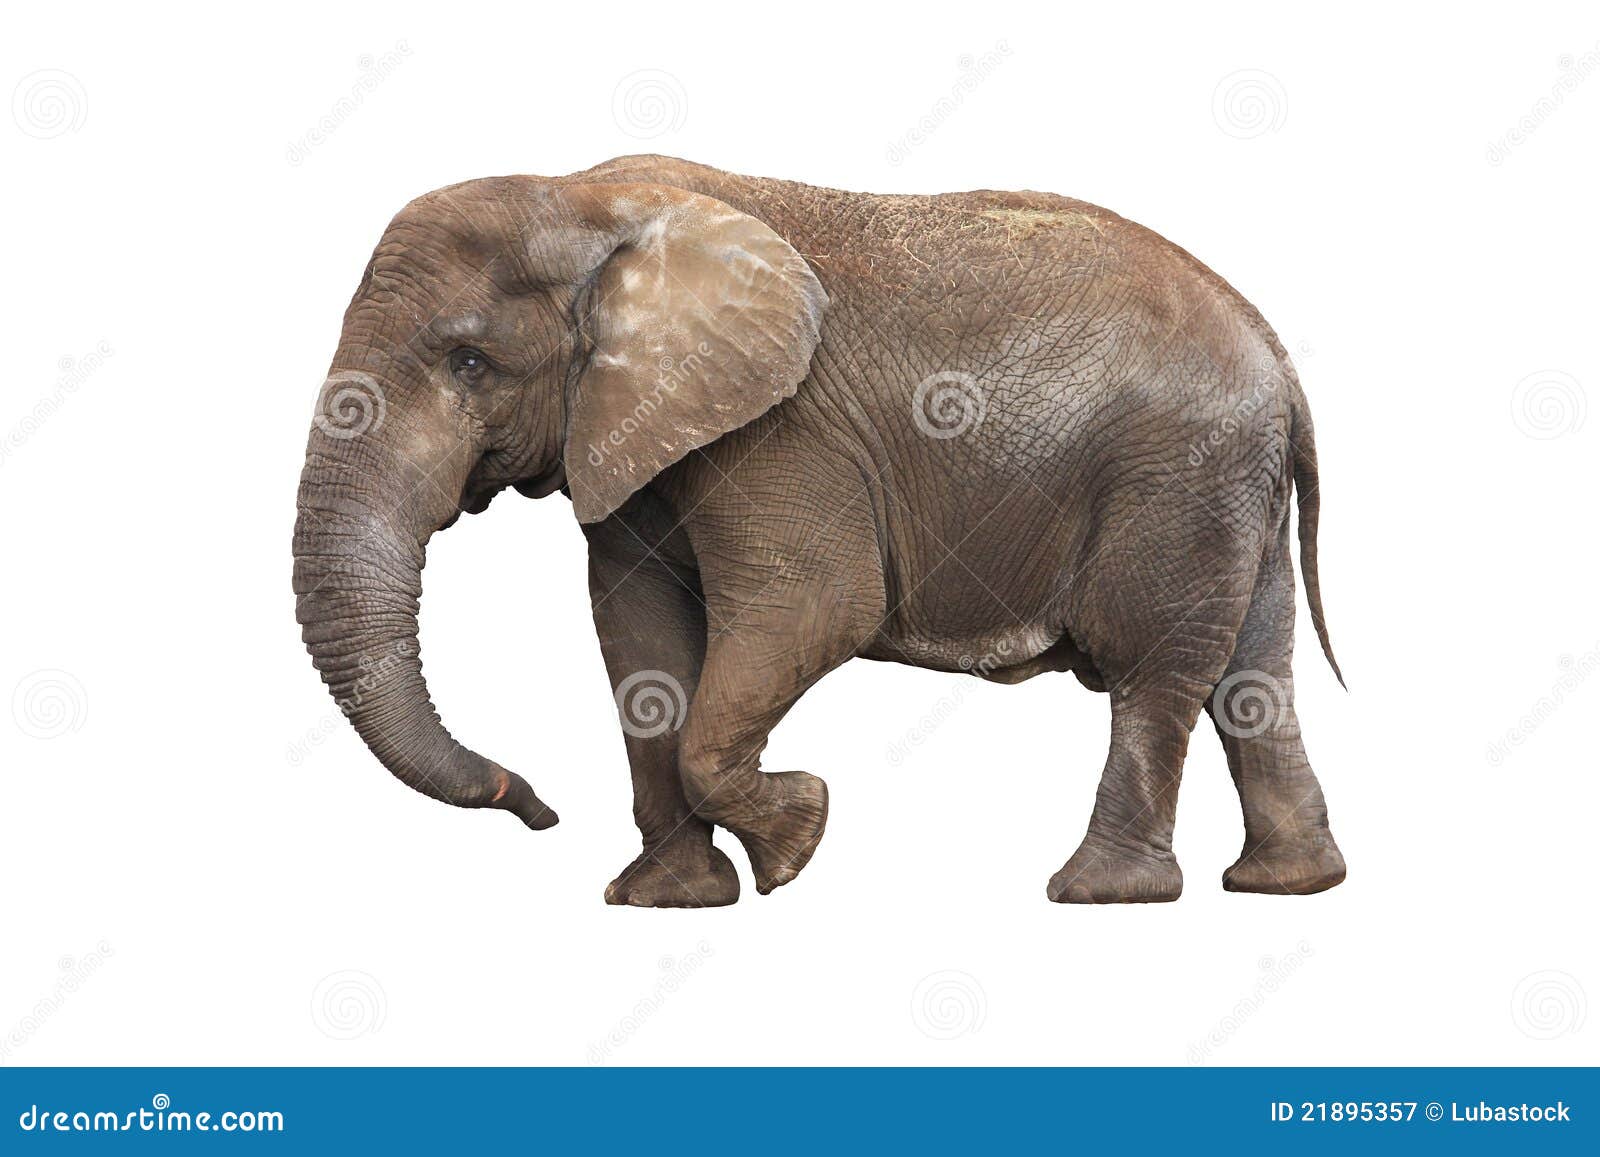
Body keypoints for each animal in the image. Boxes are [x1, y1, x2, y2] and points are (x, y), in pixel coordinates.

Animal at [293, 154, 1346, 907]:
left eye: (469, 362)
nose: (540, 806)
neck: (588, 197)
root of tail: (1275, 352)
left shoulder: (781, 431)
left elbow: (819, 607)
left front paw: (799, 841)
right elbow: (637, 637)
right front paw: (666, 902)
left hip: (1176, 478)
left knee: (1152, 669)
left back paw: (1098, 895)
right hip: (1226, 485)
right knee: (1251, 676)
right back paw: (1287, 885)